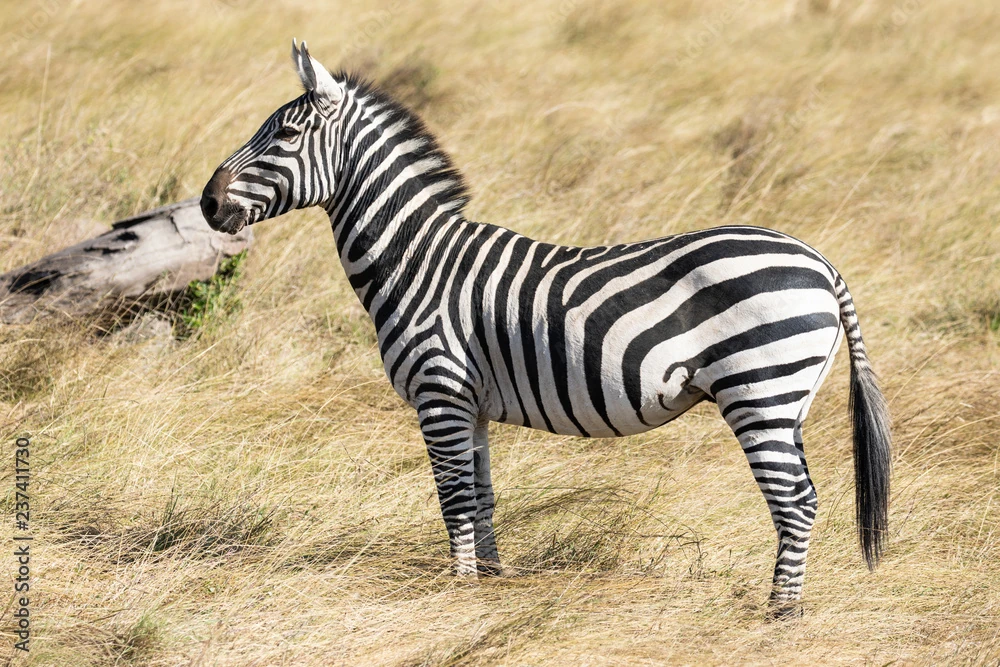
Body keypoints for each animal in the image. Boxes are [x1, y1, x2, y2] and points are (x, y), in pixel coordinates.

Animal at [201, 40, 891, 615]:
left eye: (286, 133)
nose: (208, 204)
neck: (418, 258)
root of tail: (822, 263)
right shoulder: (471, 404)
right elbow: (480, 497)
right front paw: (488, 585)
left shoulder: (439, 391)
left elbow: (452, 498)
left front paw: (455, 594)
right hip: (789, 399)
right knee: (803, 496)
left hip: (760, 388)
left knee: (795, 503)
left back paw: (779, 614)